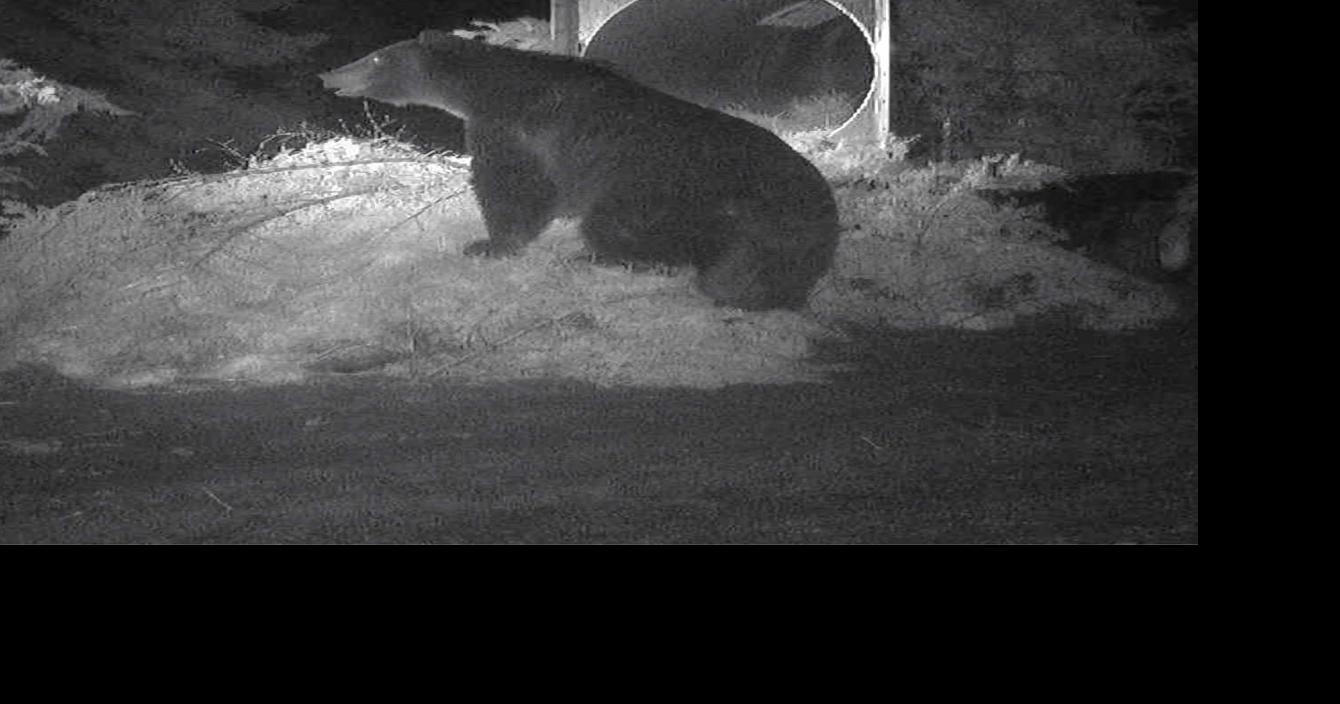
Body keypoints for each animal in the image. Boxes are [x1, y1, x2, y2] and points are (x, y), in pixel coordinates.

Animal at [320, 30, 839, 310]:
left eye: (377, 56)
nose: (329, 73)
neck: (483, 89)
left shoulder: (515, 129)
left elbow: (513, 187)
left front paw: (487, 244)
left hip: (674, 197)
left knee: (619, 228)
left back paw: (597, 256)